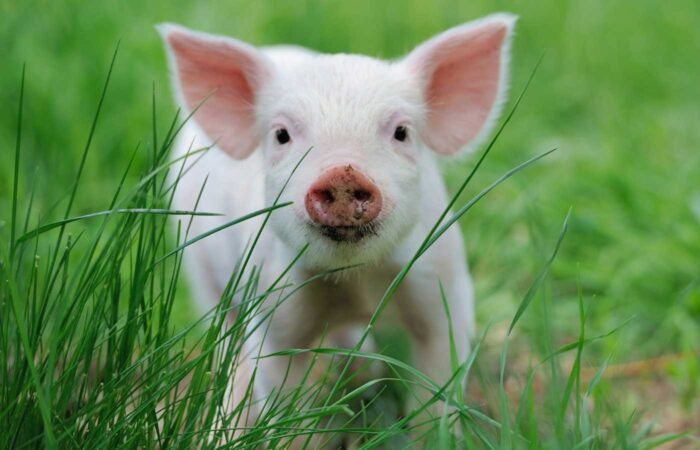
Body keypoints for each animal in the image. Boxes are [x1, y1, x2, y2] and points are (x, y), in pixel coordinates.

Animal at [159, 12, 516, 439]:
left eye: (402, 132)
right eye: (281, 134)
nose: (342, 174)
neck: (353, 279)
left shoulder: (444, 285)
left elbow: (437, 383)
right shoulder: (271, 305)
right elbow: (281, 393)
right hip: (201, 269)